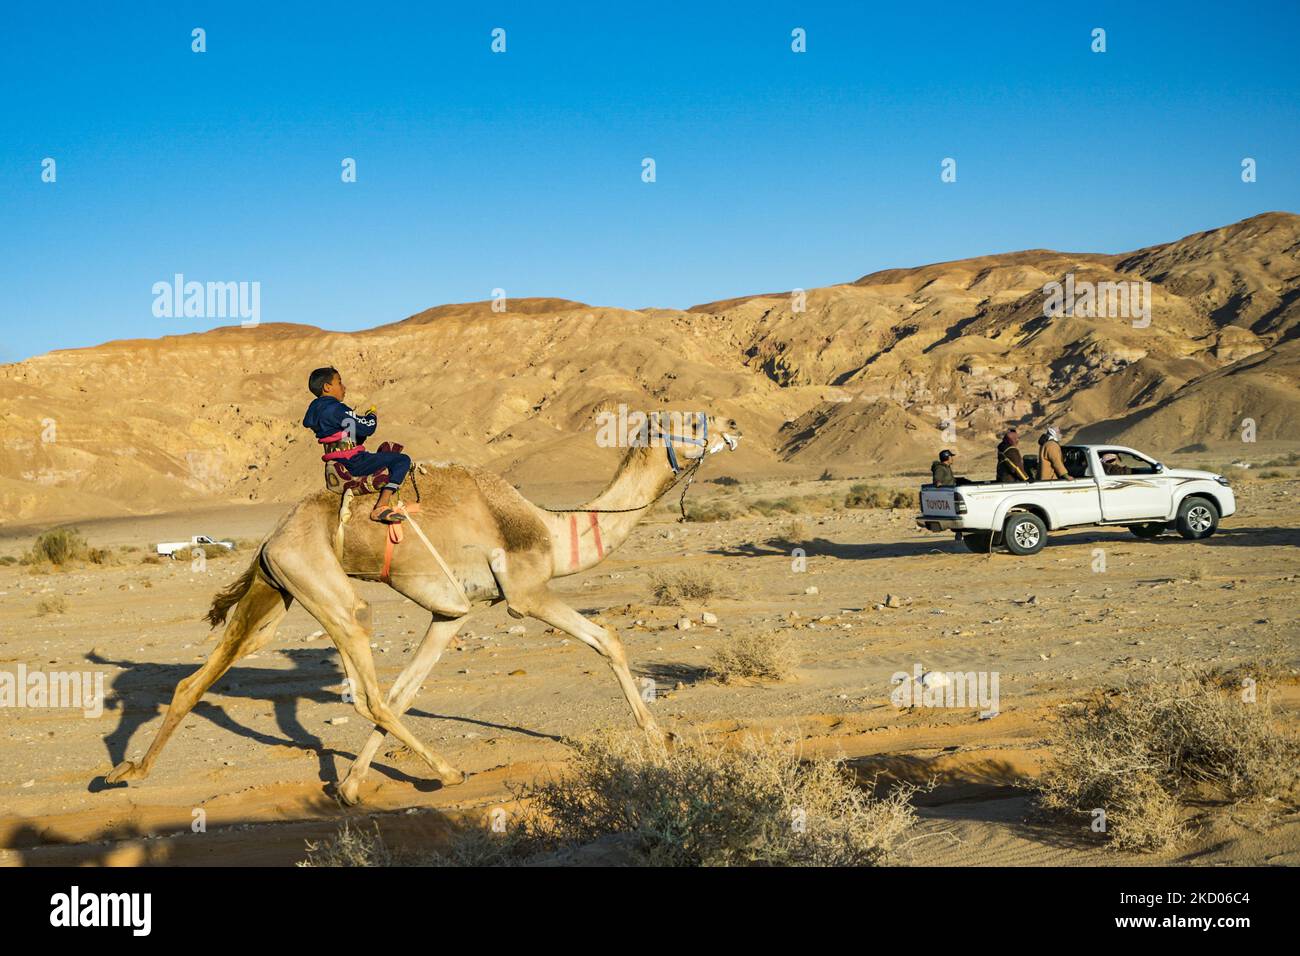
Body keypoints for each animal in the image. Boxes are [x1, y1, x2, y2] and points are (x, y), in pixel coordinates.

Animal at [104, 412, 739, 805]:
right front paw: (660, 740)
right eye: (690, 421)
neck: (553, 532)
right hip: (327, 589)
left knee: (202, 676)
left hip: (277, 590)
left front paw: (350, 787)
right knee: (363, 683)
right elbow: (609, 640)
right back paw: (448, 771)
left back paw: (125, 773)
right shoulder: (526, 593)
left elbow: (409, 689)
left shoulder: (451, 615)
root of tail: (268, 540)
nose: (732, 428)